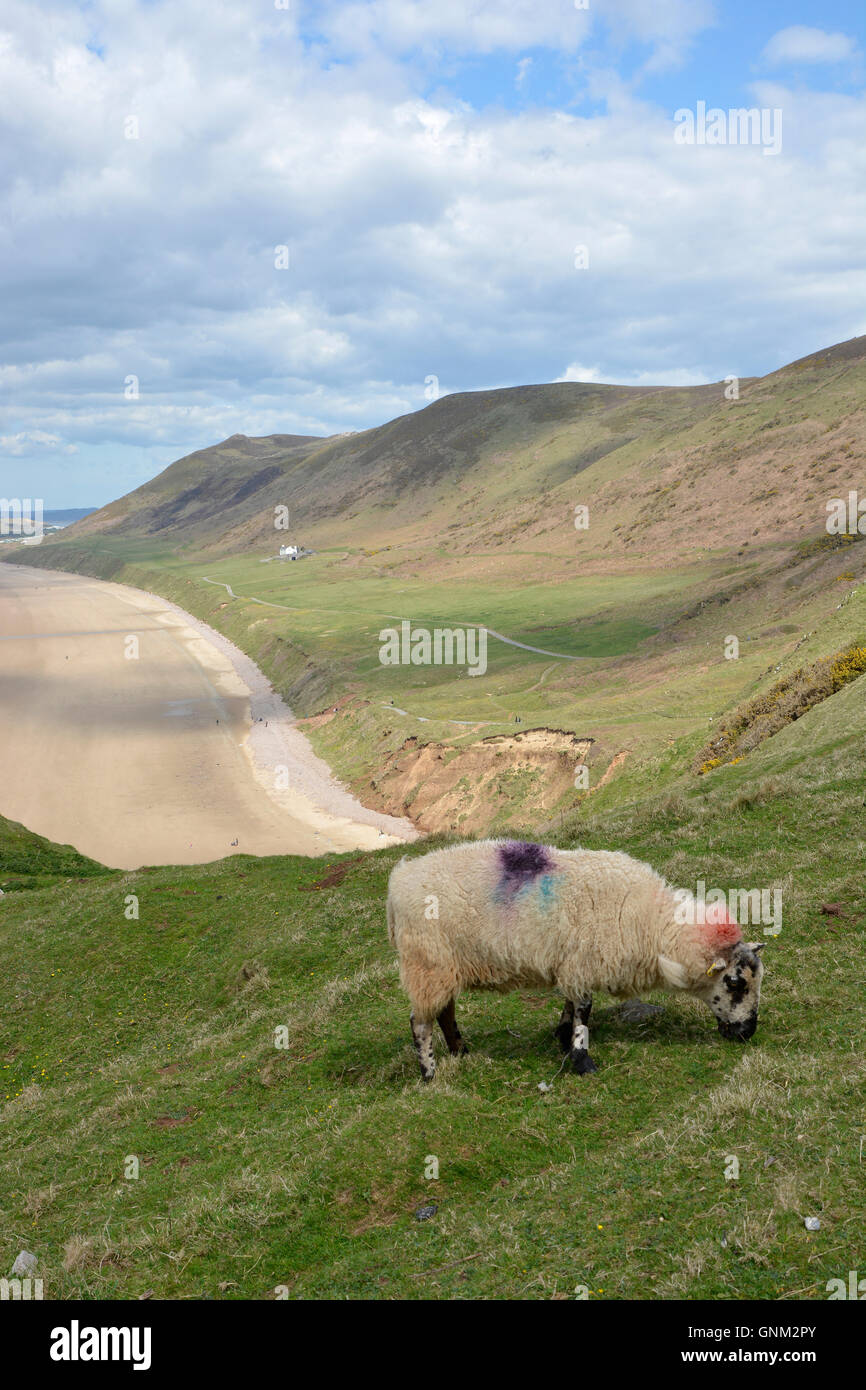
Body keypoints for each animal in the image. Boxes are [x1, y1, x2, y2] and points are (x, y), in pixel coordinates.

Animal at [386, 839, 766, 1079]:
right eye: (735, 983)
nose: (748, 1032)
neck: (654, 925)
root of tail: (398, 880)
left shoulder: (572, 963)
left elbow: (570, 1004)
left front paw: (562, 1035)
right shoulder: (582, 963)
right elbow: (585, 1009)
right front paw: (582, 1059)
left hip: (445, 967)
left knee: (444, 1012)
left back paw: (460, 1051)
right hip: (426, 962)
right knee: (420, 1023)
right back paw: (429, 1073)